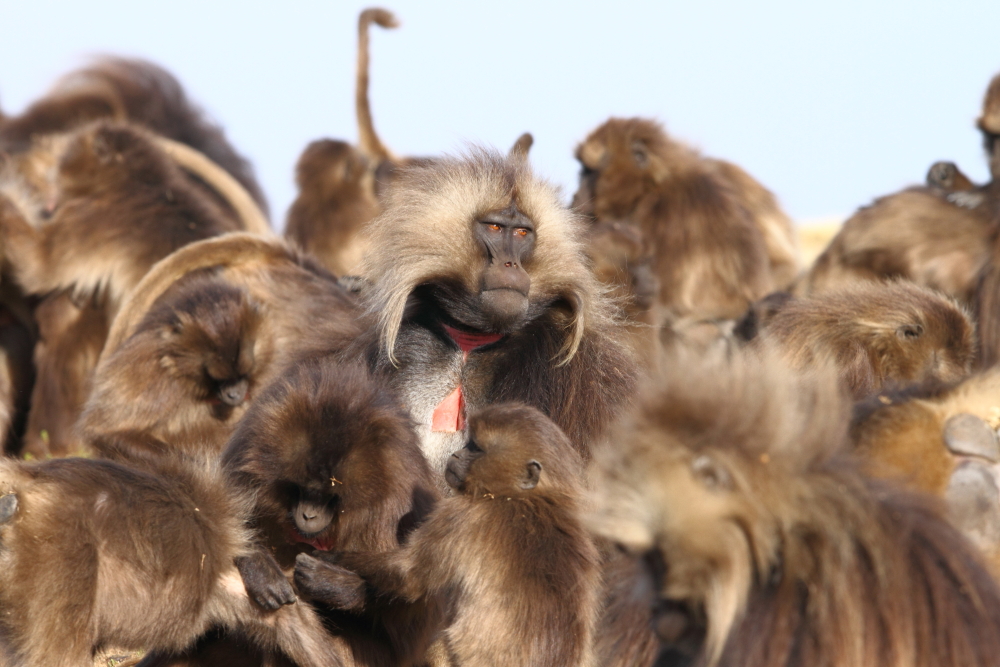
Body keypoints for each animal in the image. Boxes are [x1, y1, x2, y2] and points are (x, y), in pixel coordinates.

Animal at [308, 402, 601, 667]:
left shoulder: (463, 514)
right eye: (468, 444)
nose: (456, 454)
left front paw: (330, 567)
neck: (525, 498)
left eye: (476, 448)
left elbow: (408, 577)